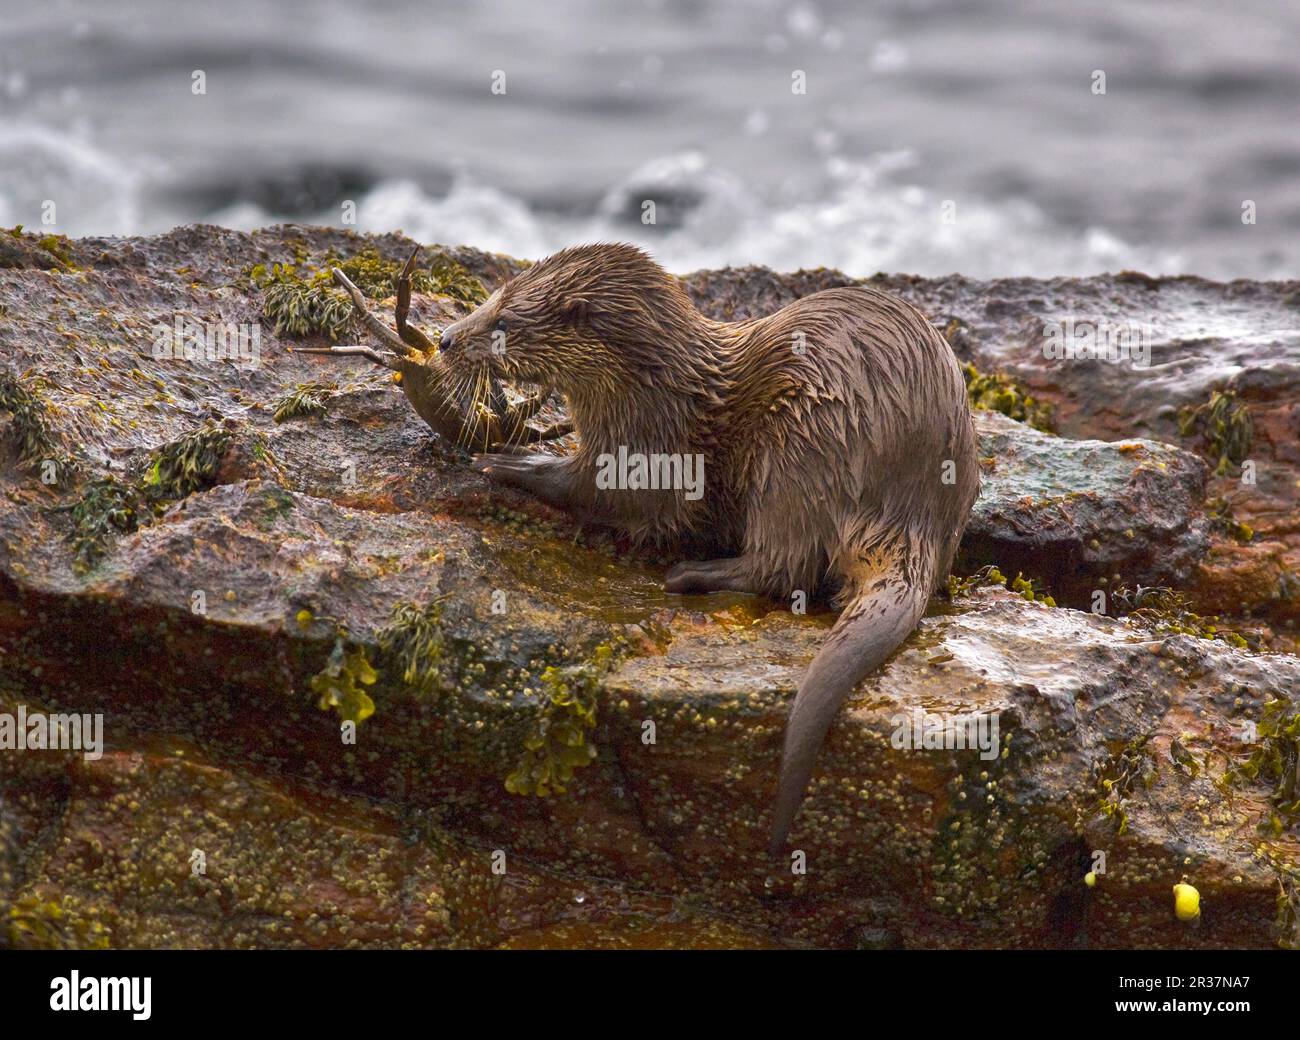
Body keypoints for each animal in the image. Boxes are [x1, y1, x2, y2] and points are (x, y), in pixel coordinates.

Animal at [319, 243, 980, 852]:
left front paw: (513, 462)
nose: (448, 339)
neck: (647, 388)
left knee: (783, 565)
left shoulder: (648, 450)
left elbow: (612, 496)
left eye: (502, 322)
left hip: (805, 446)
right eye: (491, 296)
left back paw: (691, 574)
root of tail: (916, 514)